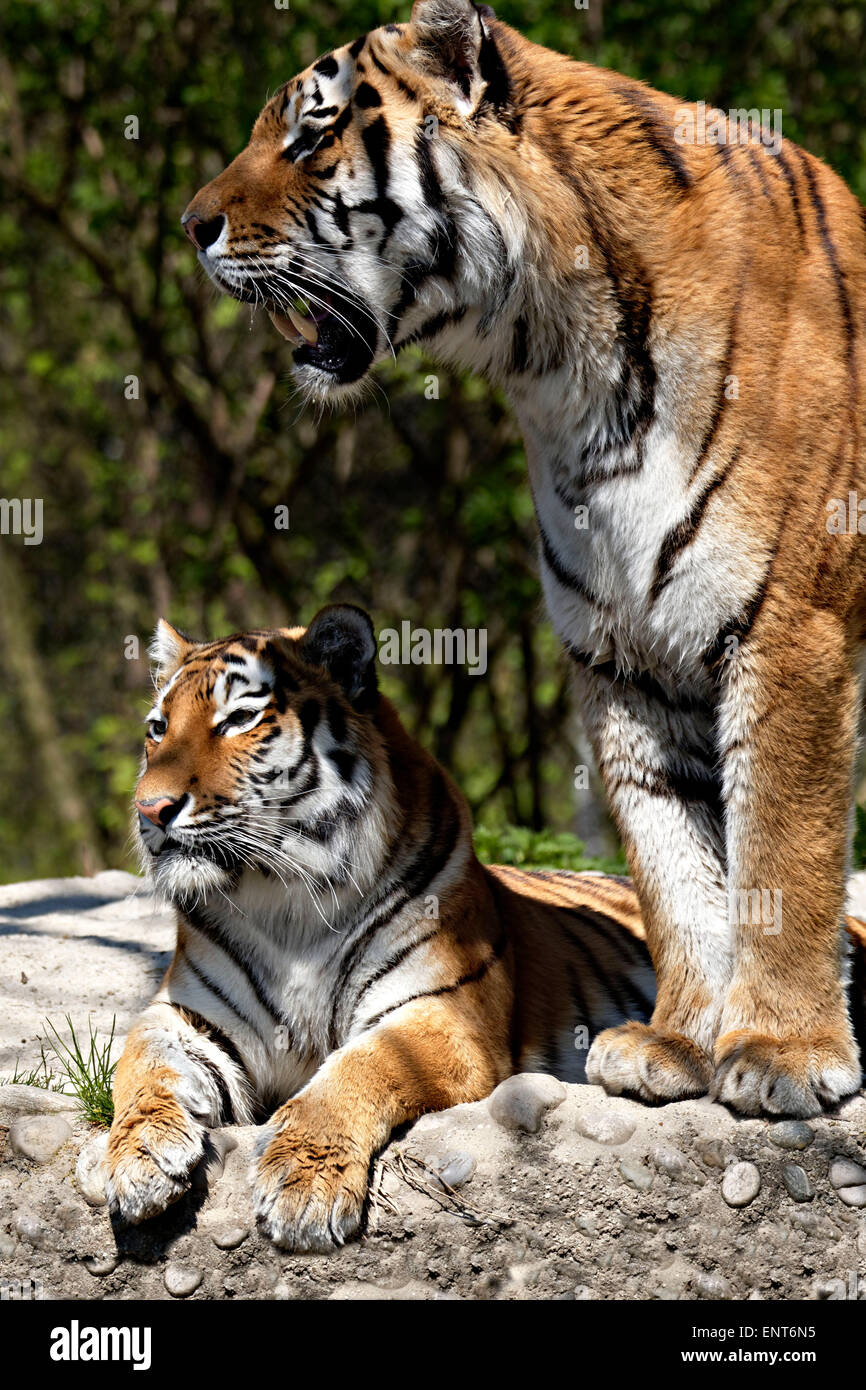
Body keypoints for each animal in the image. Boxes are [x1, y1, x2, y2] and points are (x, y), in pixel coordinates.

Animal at [108, 604, 866, 1252]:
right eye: (157, 728)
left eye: (238, 718)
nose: (149, 810)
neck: (284, 900)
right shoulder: (189, 1015)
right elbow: (140, 1065)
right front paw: (134, 1160)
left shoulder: (443, 1015)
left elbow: (354, 1068)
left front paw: (302, 1180)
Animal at [180, 0, 866, 1118]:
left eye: (313, 134)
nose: (189, 226)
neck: (563, 370)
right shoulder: (624, 654)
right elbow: (675, 864)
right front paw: (678, 1041)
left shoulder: (787, 626)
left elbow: (779, 848)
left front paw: (780, 1052)